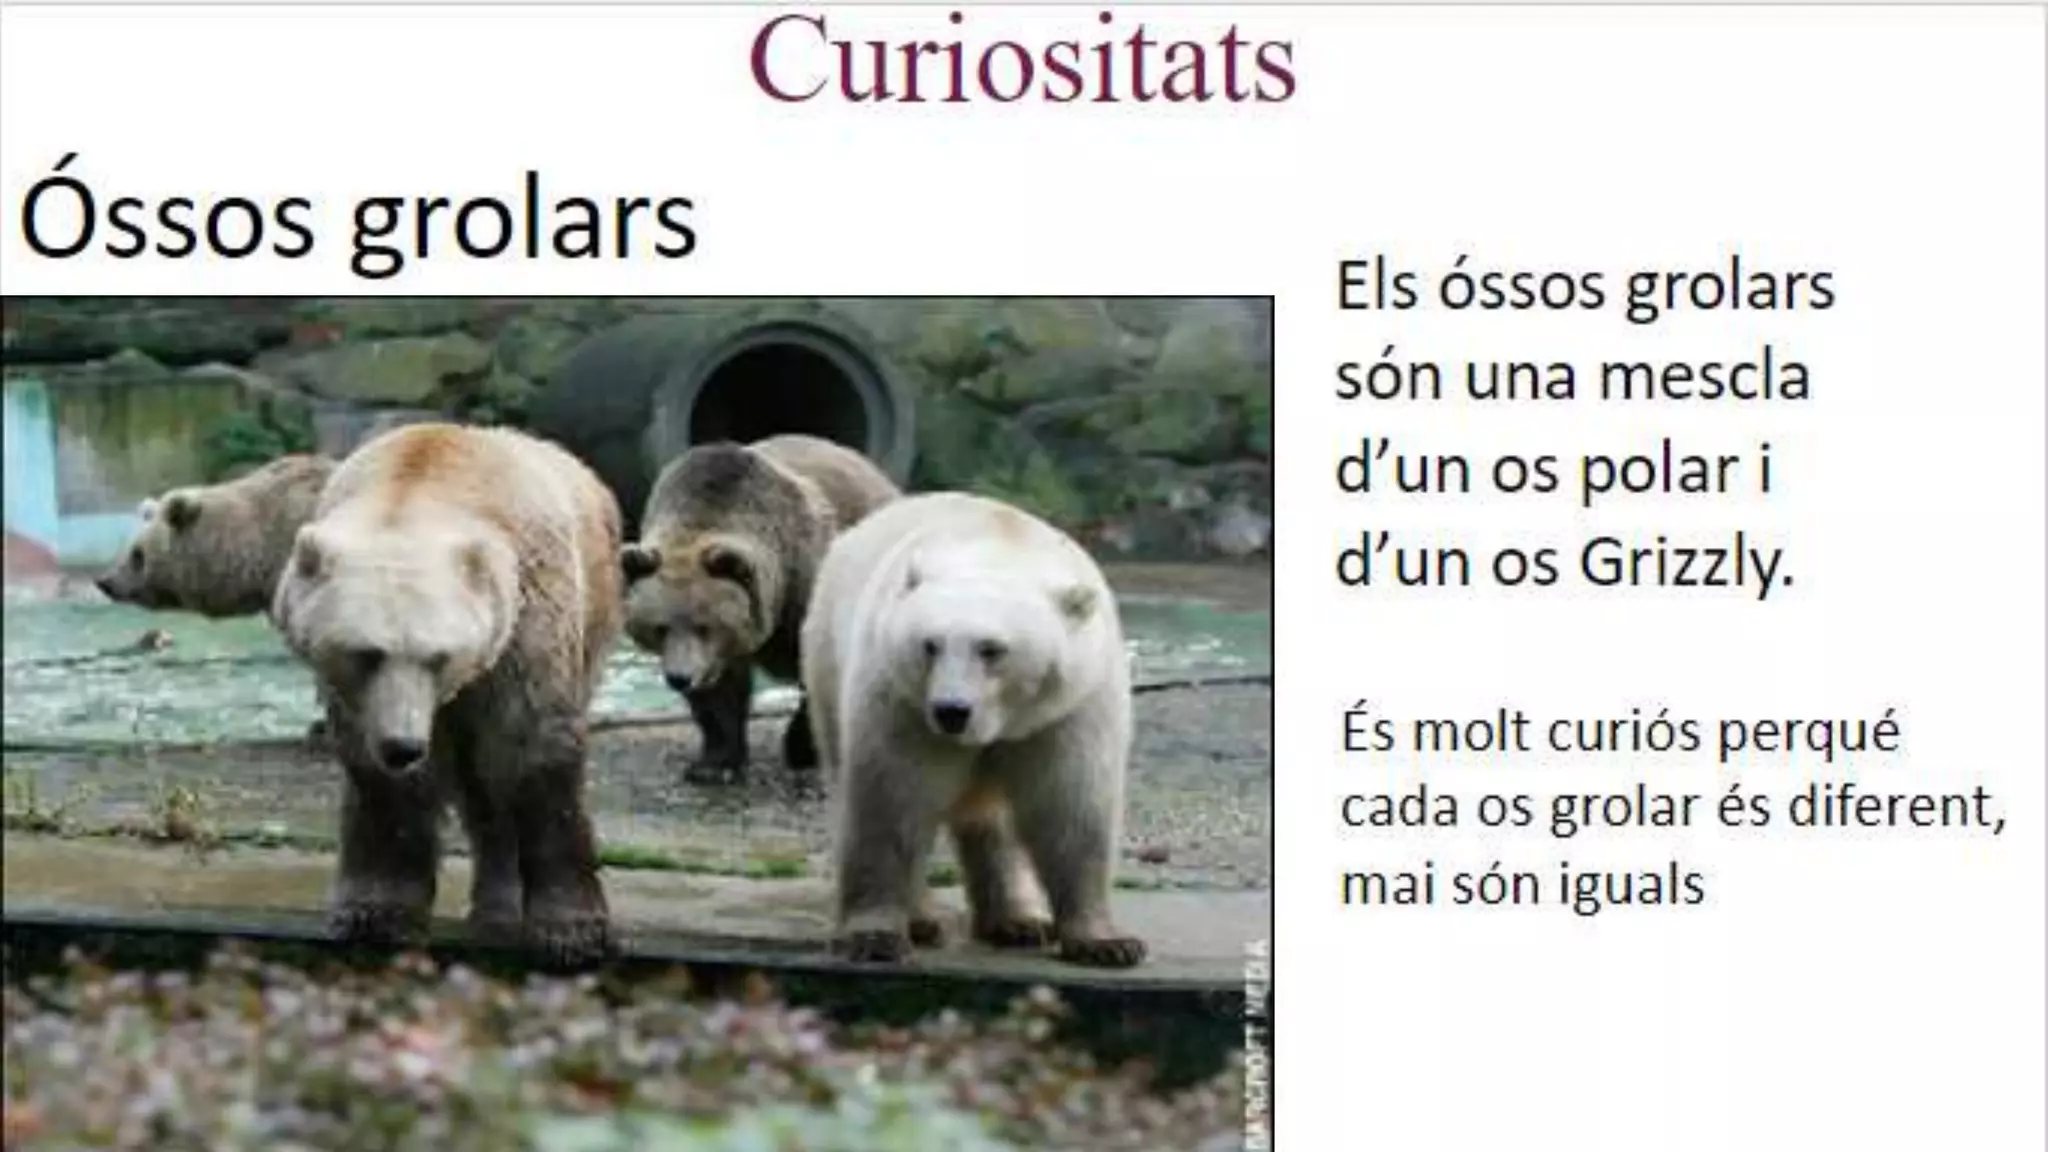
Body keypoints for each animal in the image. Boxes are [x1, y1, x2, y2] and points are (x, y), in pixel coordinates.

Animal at [269, 422, 625, 967]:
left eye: (438, 655)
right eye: (366, 654)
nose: (403, 746)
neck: (421, 479)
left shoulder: (527, 623)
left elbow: (534, 748)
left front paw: (571, 930)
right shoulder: (358, 696)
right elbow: (379, 777)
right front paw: (375, 911)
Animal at [619, 433, 899, 785]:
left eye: (704, 626)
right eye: (660, 628)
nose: (680, 678)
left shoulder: (803, 586)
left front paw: (802, 749)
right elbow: (720, 696)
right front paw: (714, 764)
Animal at [799, 490, 1147, 969]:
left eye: (992, 650)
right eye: (930, 645)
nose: (951, 711)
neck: (999, 544)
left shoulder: (1070, 707)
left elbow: (1072, 809)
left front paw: (1108, 943)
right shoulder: (902, 704)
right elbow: (890, 804)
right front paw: (875, 936)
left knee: (992, 819)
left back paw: (1019, 921)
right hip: (828, 661)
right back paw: (925, 920)